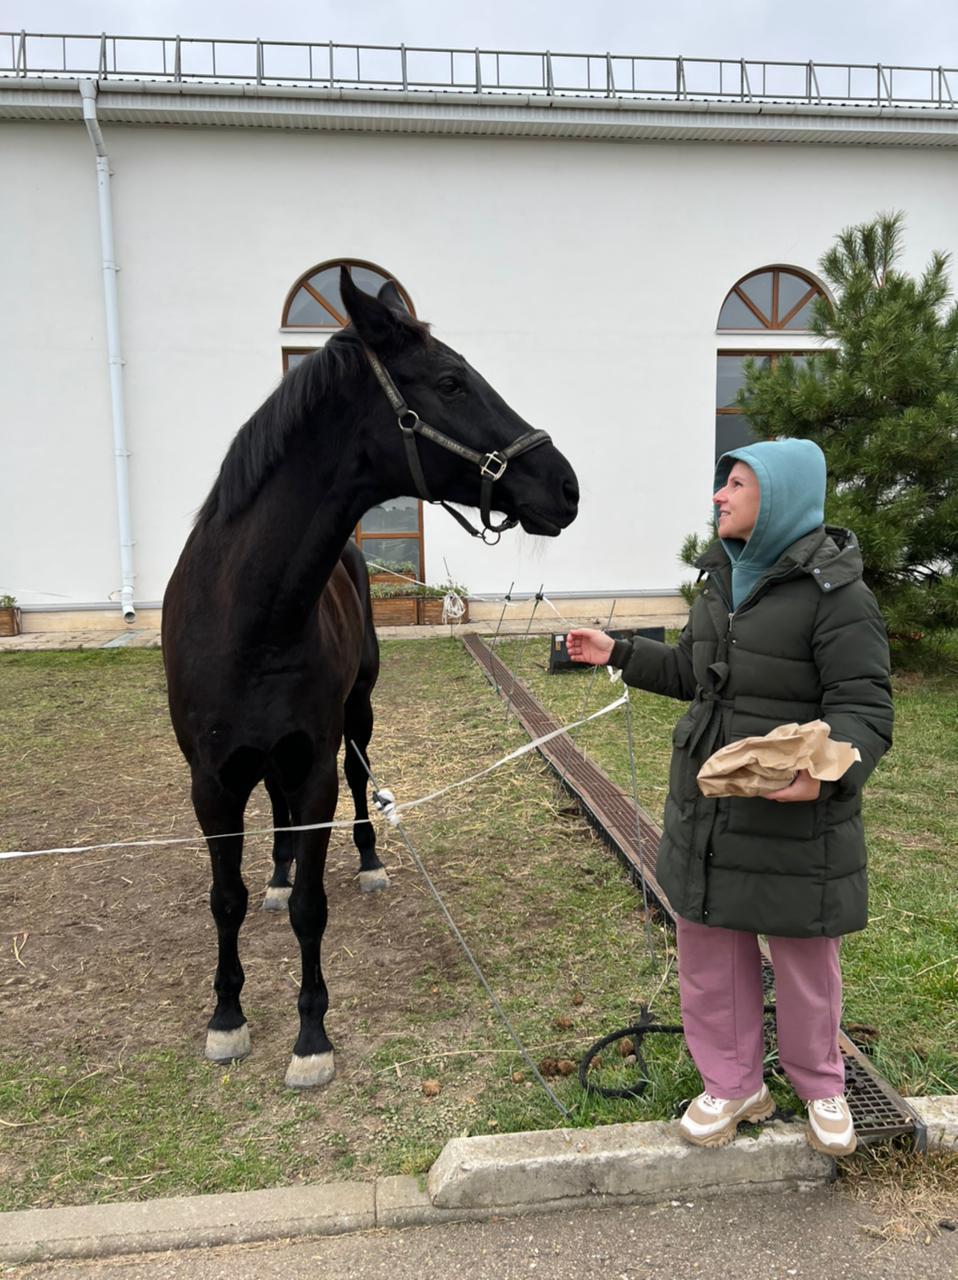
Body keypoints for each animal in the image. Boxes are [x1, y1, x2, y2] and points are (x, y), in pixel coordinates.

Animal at [163, 270, 578, 1090]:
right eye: (449, 382)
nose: (565, 486)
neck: (248, 617)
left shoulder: (317, 765)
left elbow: (312, 907)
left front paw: (310, 1037)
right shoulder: (211, 780)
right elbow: (224, 899)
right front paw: (227, 1018)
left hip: (355, 717)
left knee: (357, 784)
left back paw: (367, 861)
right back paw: (278, 870)